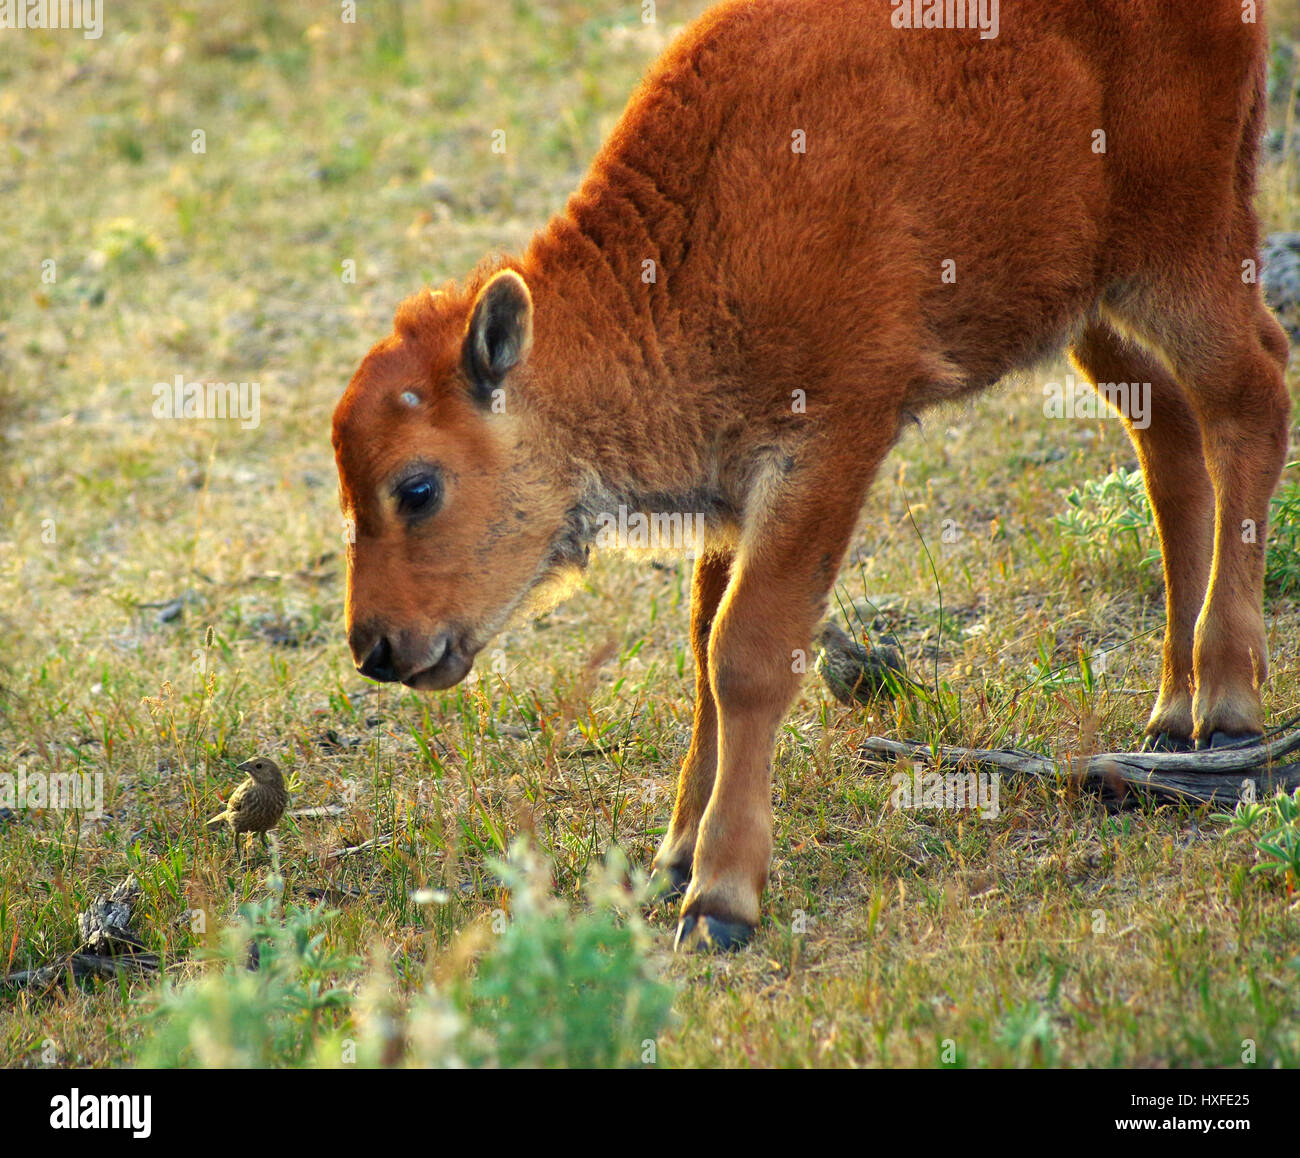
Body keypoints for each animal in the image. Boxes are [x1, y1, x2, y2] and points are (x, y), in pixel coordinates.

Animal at [332, 0, 1292, 950]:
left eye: (417, 488)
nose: (374, 649)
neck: (693, 246)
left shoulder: (828, 445)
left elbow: (745, 651)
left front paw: (718, 900)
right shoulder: (733, 489)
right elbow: (703, 645)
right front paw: (672, 859)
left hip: (1183, 254)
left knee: (1251, 399)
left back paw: (1226, 703)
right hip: (1091, 311)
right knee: (1170, 438)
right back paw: (1171, 711)